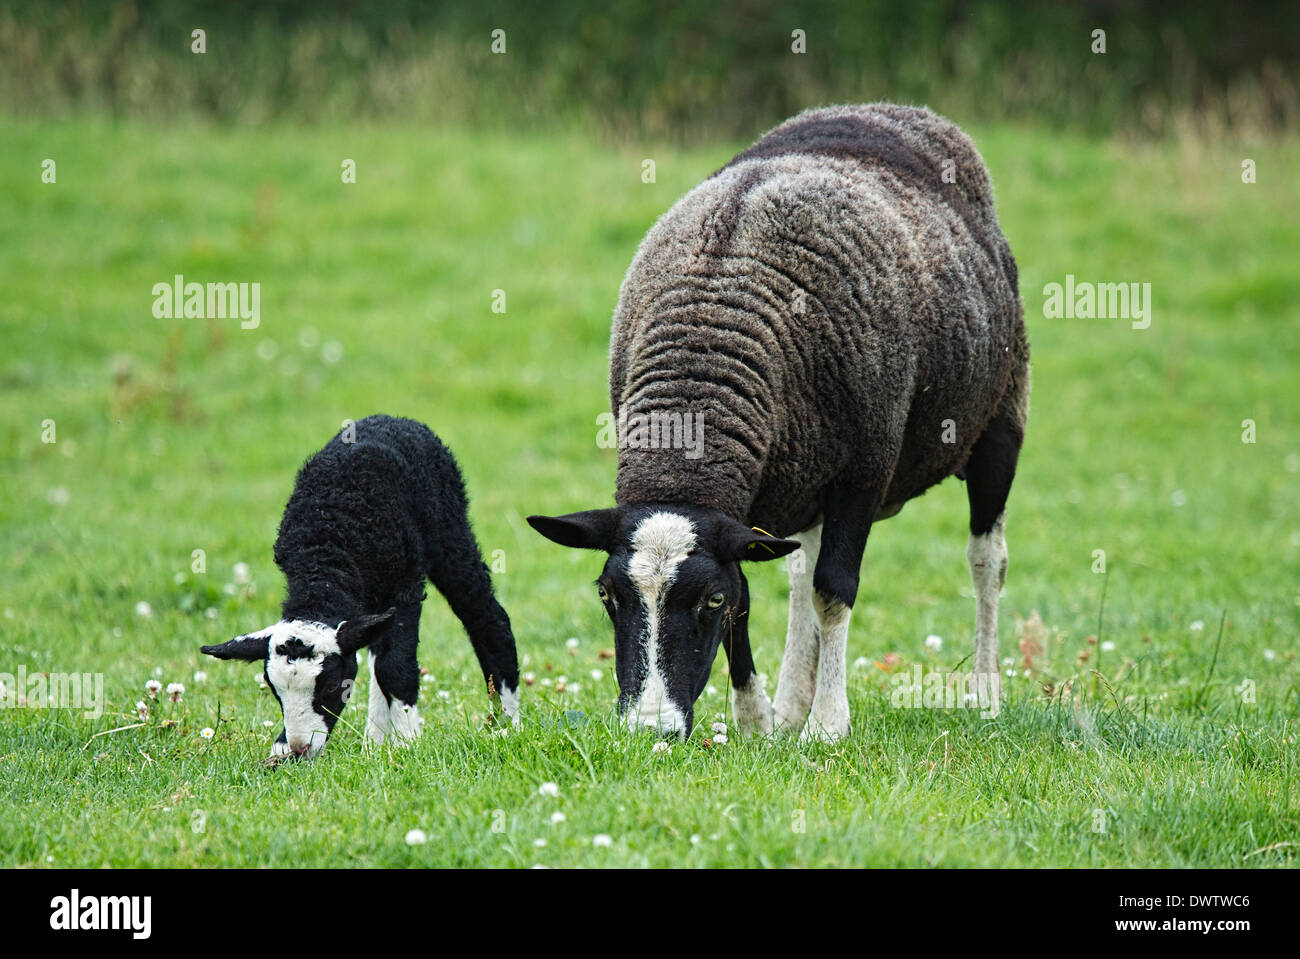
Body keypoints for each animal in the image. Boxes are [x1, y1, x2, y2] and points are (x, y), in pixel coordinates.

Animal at [201, 414, 519, 759]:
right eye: (275, 690)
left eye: (331, 685)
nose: (300, 748)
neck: (326, 556)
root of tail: (392, 419)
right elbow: (382, 663)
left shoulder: (405, 586)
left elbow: (397, 668)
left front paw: (408, 741)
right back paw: (375, 741)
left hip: (449, 532)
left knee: (486, 616)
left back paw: (508, 722)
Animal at [529, 103, 1028, 741]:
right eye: (607, 596)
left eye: (708, 602)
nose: (652, 730)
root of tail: (887, 111)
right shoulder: (745, 519)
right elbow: (756, 593)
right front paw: (757, 720)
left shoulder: (863, 474)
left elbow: (831, 590)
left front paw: (828, 725)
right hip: (801, 474)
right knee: (796, 573)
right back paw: (792, 702)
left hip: (1001, 417)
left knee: (986, 561)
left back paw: (984, 694)